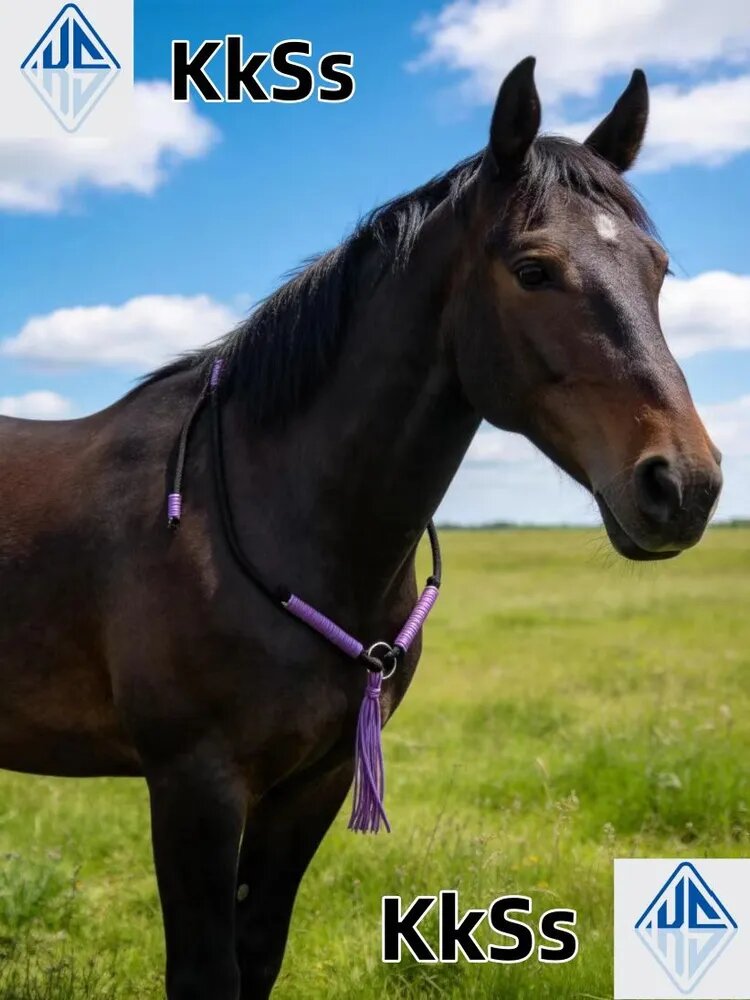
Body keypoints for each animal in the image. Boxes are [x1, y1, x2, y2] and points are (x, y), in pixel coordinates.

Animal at [0, 58, 721, 999]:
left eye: (659, 269)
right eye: (533, 269)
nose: (685, 484)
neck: (267, 515)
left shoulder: (315, 782)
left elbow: (256, 956)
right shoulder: (194, 786)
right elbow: (206, 970)